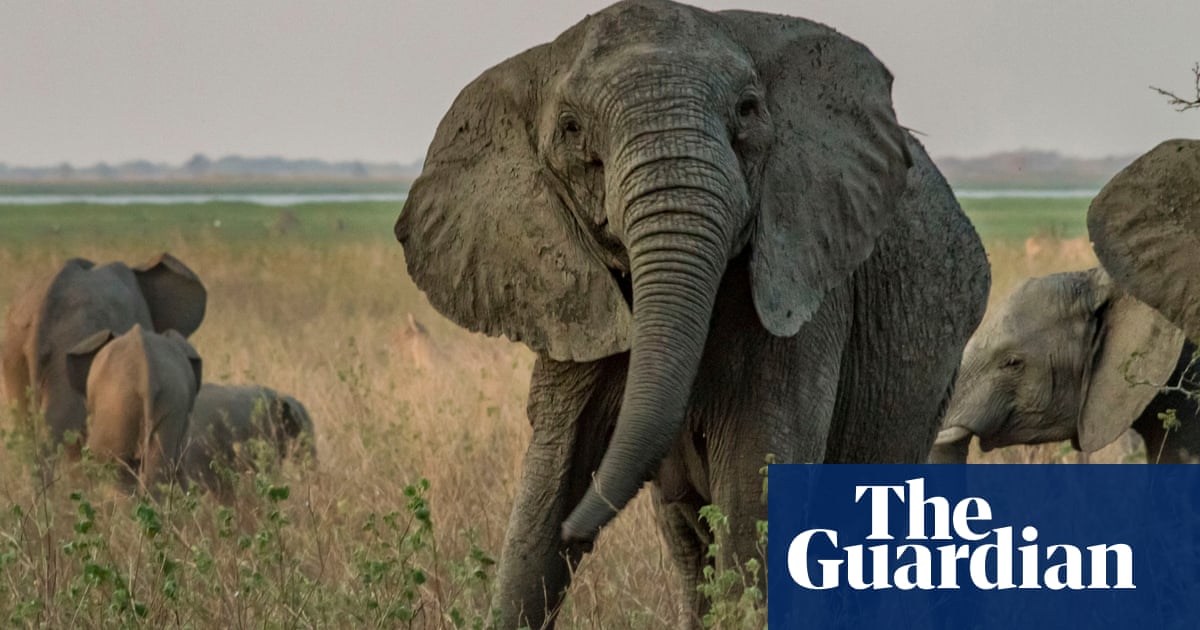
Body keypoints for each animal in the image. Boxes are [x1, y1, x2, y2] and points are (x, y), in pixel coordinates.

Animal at [394, 1, 989, 627]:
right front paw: (553, 519)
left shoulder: (804, 279)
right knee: (685, 541)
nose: (580, 529)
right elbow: (552, 472)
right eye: (571, 130)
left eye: (748, 110)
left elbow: (755, 480)